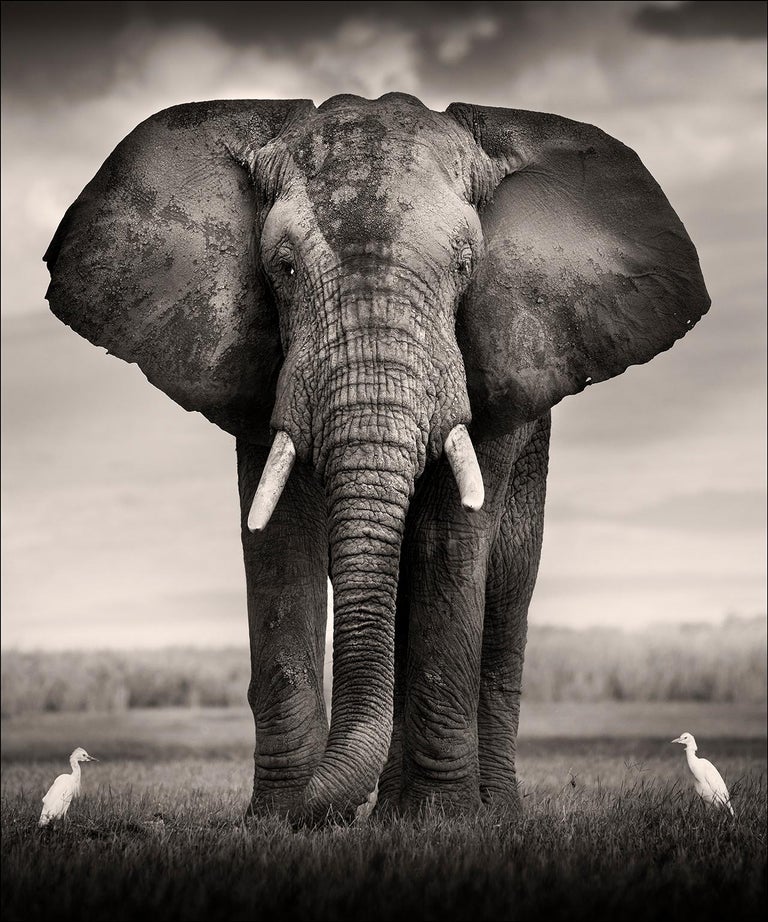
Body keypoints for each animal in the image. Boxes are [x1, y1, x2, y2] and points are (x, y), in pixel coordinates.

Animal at [44, 93, 709, 823]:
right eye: (282, 267)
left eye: (464, 265)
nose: (328, 811)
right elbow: (280, 543)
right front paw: (278, 817)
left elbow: (451, 541)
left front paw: (441, 820)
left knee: (504, 589)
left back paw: (486, 811)